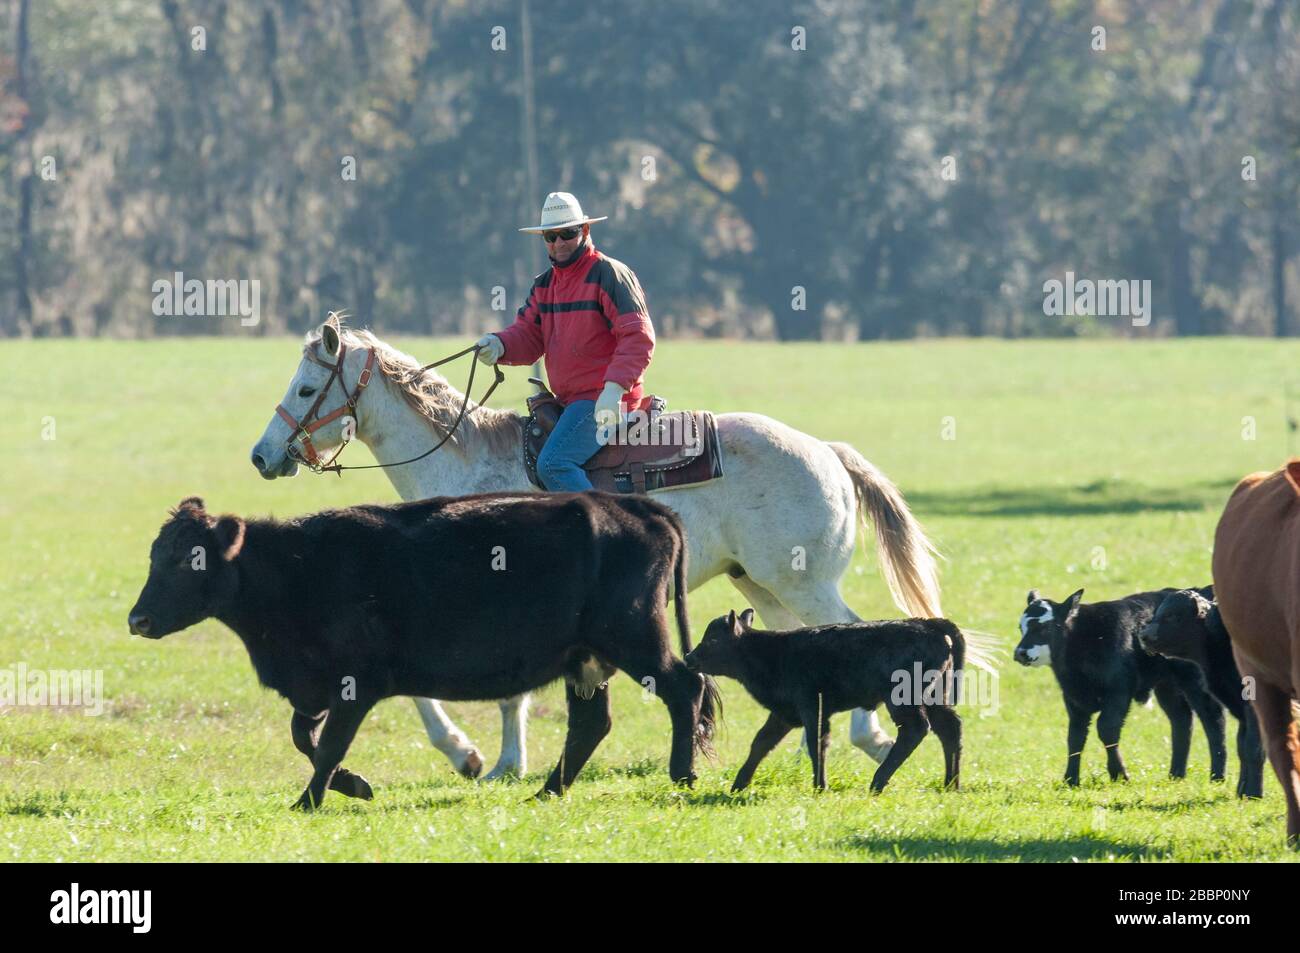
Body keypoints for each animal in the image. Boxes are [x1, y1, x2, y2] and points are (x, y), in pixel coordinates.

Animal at [127, 493, 719, 810]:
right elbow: (305, 738)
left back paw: (682, 774)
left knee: (684, 688)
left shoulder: (357, 684)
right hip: (585, 659)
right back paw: (548, 792)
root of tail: (630, 505)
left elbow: (327, 745)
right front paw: (354, 786)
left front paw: (309, 800)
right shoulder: (315, 687)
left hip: (634, 638)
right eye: (155, 555)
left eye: (188, 560)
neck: (298, 568)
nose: (138, 620)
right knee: (591, 724)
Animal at [684, 609, 970, 794]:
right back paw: (950, 784)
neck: (769, 652)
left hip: (903, 700)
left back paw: (878, 782)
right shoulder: (785, 713)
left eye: (712, 639)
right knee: (949, 728)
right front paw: (738, 784)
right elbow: (761, 743)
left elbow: (816, 743)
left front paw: (820, 786)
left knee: (915, 730)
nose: (689, 657)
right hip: (934, 698)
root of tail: (927, 625)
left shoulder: (812, 708)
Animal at [1014, 589, 1226, 787]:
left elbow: (1106, 728)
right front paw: (1071, 779)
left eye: (1044, 627)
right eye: (1020, 627)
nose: (1020, 653)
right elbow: (1075, 736)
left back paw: (1217, 776)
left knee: (1213, 720)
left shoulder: (1118, 692)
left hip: (1196, 681)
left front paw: (1119, 774)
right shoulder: (1074, 699)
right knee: (1182, 720)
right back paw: (1176, 774)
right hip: (1167, 686)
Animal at [1137, 588, 1266, 798]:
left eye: (1172, 615)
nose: (1144, 636)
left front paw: (1254, 794)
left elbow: (1253, 748)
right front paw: (1241, 792)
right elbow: (1242, 747)